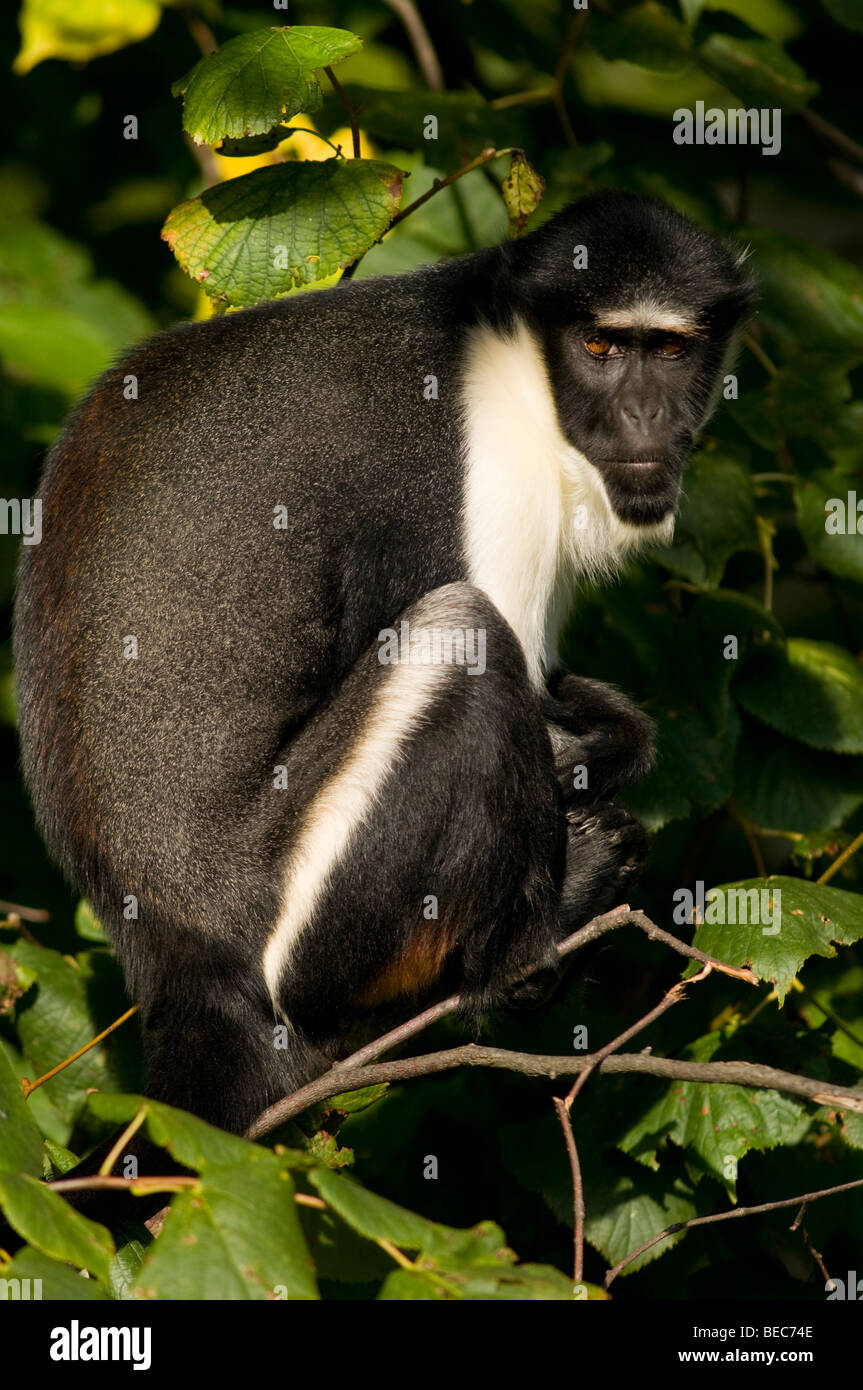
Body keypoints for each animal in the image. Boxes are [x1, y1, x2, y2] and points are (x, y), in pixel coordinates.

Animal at [13, 190, 755, 1140]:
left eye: (669, 350)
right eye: (600, 347)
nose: (645, 420)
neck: (499, 350)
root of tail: (177, 961)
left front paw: (616, 737)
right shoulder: (471, 476)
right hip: (311, 934)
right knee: (459, 634)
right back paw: (520, 961)